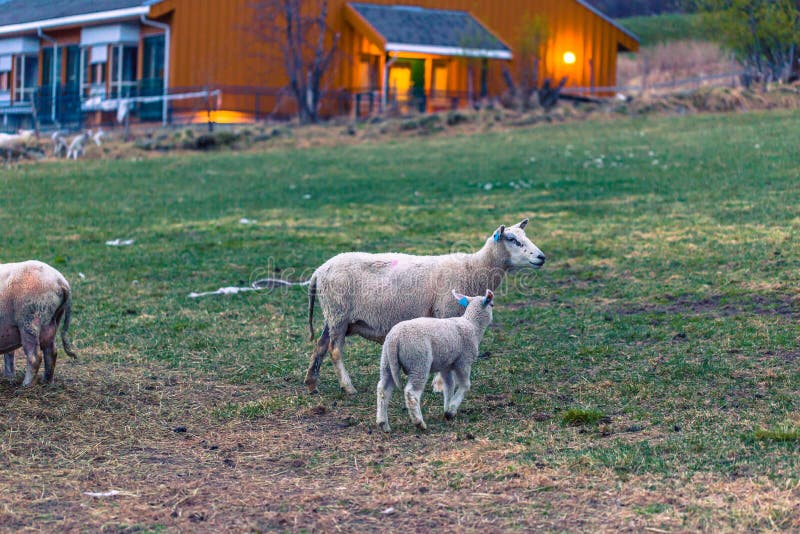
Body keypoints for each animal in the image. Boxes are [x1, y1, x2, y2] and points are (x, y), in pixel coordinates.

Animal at [302, 218, 544, 394]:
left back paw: (311, 383)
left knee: (320, 346)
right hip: (339, 313)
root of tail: (319, 271)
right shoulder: (446, 310)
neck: (473, 268)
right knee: (334, 350)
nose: (541, 257)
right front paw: (440, 385)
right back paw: (348, 386)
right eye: (512, 239)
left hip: (333, 315)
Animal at [376, 289, 494, 432]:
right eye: (492, 305)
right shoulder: (463, 361)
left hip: (387, 361)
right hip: (418, 361)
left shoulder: (446, 365)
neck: (472, 325)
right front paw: (452, 409)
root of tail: (395, 338)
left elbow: (449, 386)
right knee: (411, 393)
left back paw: (383, 423)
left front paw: (447, 409)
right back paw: (419, 423)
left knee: (383, 389)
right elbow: (465, 385)